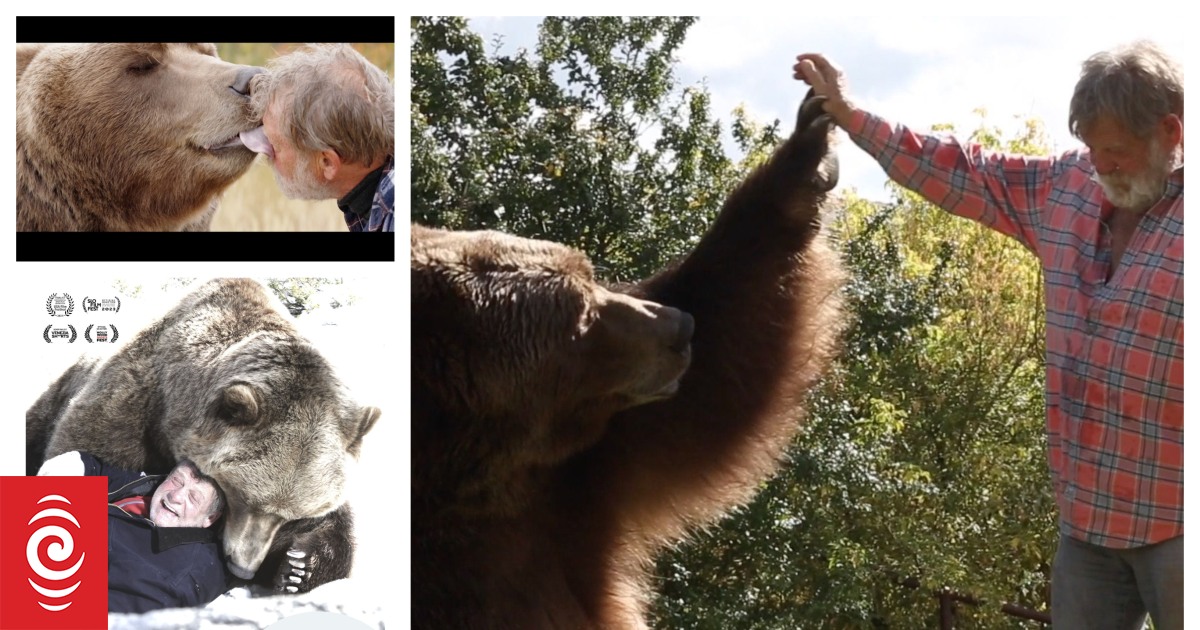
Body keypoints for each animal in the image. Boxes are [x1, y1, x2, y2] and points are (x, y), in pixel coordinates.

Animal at [26, 278, 382, 593]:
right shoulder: (132, 406)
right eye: (244, 499)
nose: (244, 566)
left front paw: (298, 568)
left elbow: (338, 524)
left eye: (291, 515)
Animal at [412, 89, 845, 628]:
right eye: (581, 315)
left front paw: (810, 144)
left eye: (589, 276)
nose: (680, 327)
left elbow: (726, 343)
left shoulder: (567, 487)